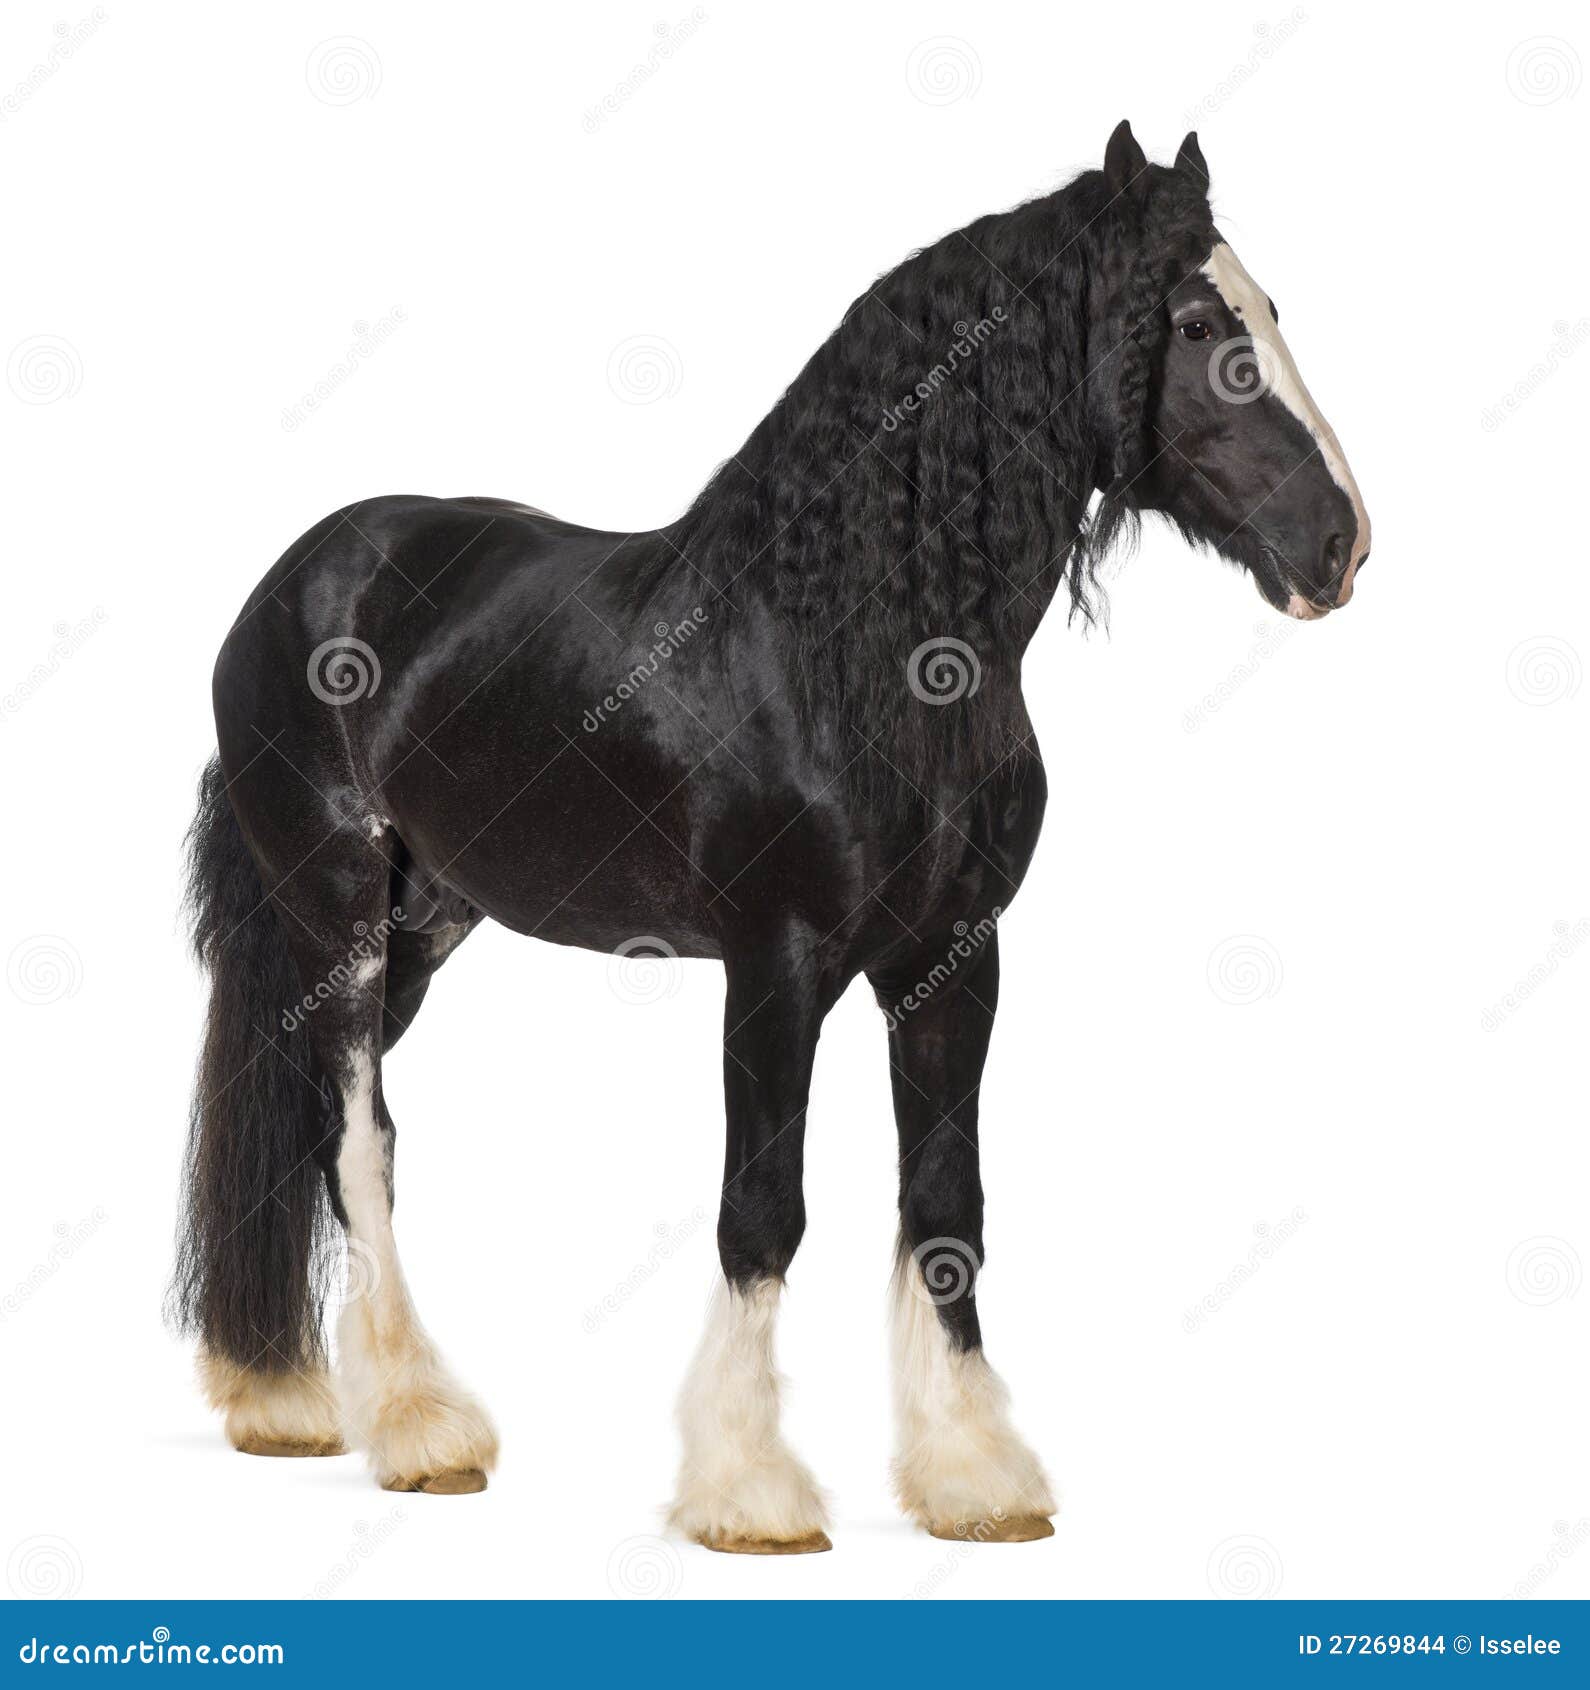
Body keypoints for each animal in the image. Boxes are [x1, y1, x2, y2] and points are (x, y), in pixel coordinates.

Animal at [170, 120, 1369, 1553]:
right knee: (360, 1140)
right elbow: (763, 1209)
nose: (1342, 544)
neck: (845, 648)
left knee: (302, 1117)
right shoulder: (776, 965)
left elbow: (946, 1205)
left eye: (1271, 311)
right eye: (1195, 323)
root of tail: (296, 576)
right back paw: (417, 1429)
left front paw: (974, 1478)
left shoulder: (953, 963)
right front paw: (749, 1489)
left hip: (424, 922)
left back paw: (280, 1400)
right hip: (336, 906)